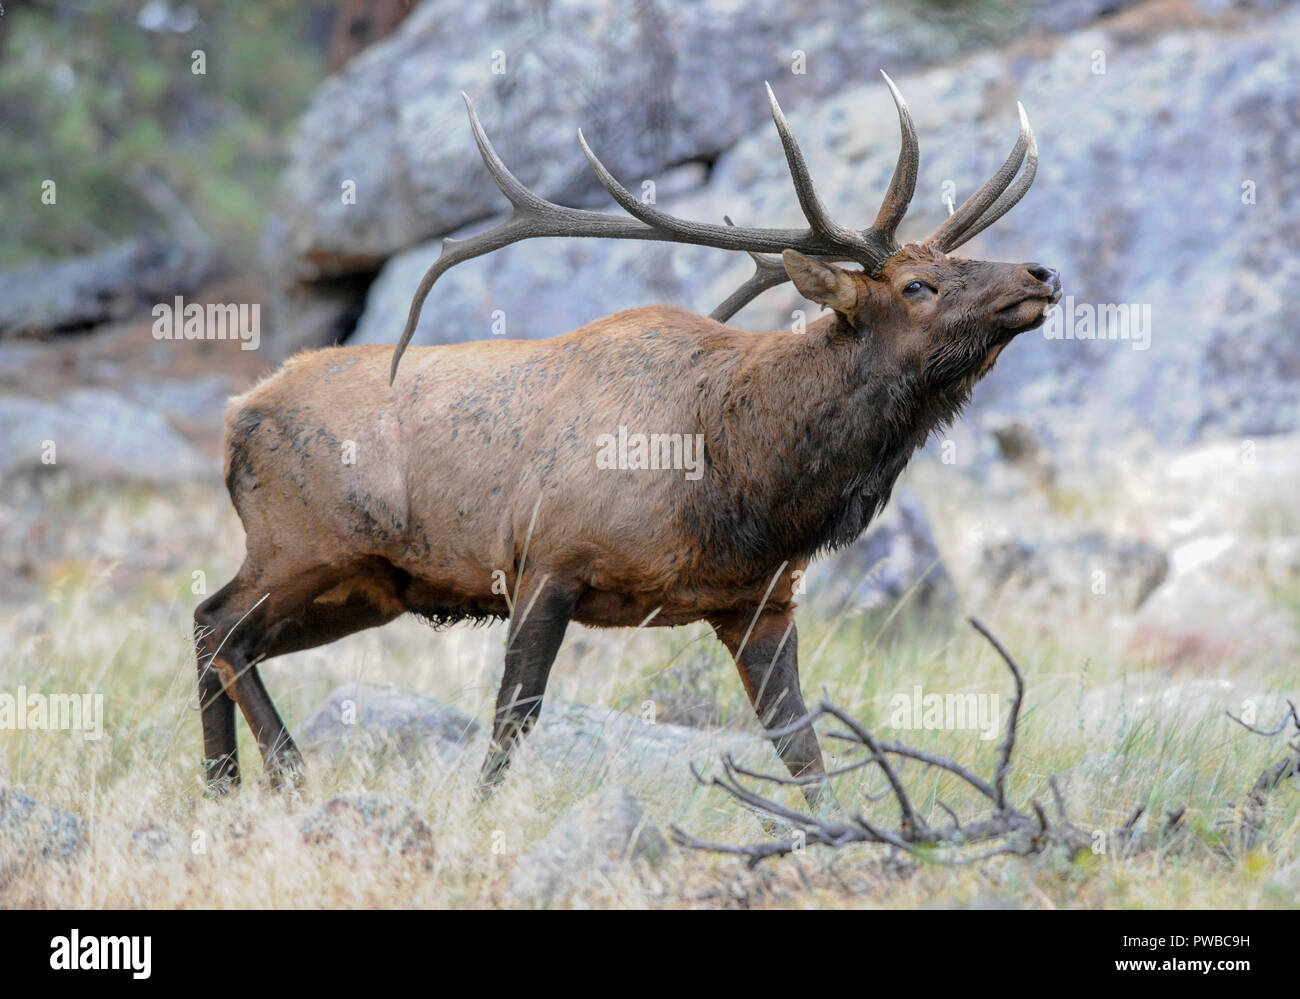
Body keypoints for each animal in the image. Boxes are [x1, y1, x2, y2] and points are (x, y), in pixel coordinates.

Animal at [194, 73, 1061, 806]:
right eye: (919, 284)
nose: (1041, 273)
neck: (739, 483)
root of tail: (234, 418)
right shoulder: (548, 558)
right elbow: (513, 719)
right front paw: (480, 815)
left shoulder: (761, 601)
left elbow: (801, 747)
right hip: (301, 546)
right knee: (217, 624)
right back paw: (283, 774)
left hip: (364, 586)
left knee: (220, 634)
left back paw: (222, 789)